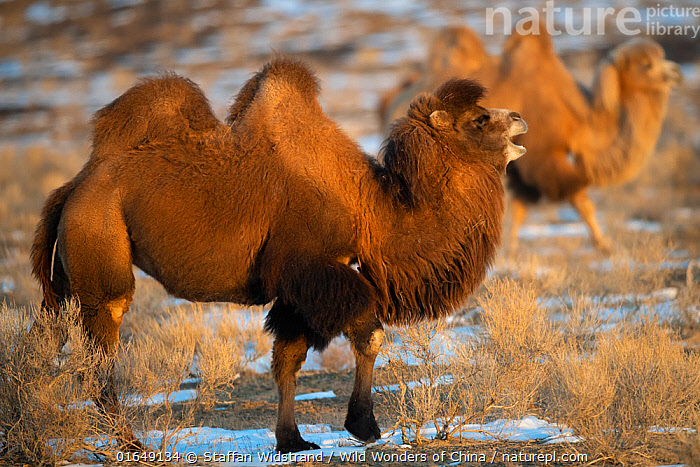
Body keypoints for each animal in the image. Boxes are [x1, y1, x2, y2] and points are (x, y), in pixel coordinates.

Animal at [32, 58, 527, 453]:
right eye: (480, 119)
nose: (520, 119)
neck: (368, 206)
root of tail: (73, 188)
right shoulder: (310, 268)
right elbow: (368, 335)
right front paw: (364, 426)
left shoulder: (299, 287)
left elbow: (288, 357)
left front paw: (292, 441)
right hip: (99, 242)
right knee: (102, 345)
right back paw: (129, 442)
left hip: (71, 265)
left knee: (61, 338)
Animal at [381, 26, 682, 252]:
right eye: (647, 65)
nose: (676, 73)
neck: (580, 119)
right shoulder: (545, 160)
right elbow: (581, 201)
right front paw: (605, 246)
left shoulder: (526, 168)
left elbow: (520, 207)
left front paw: (512, 249)